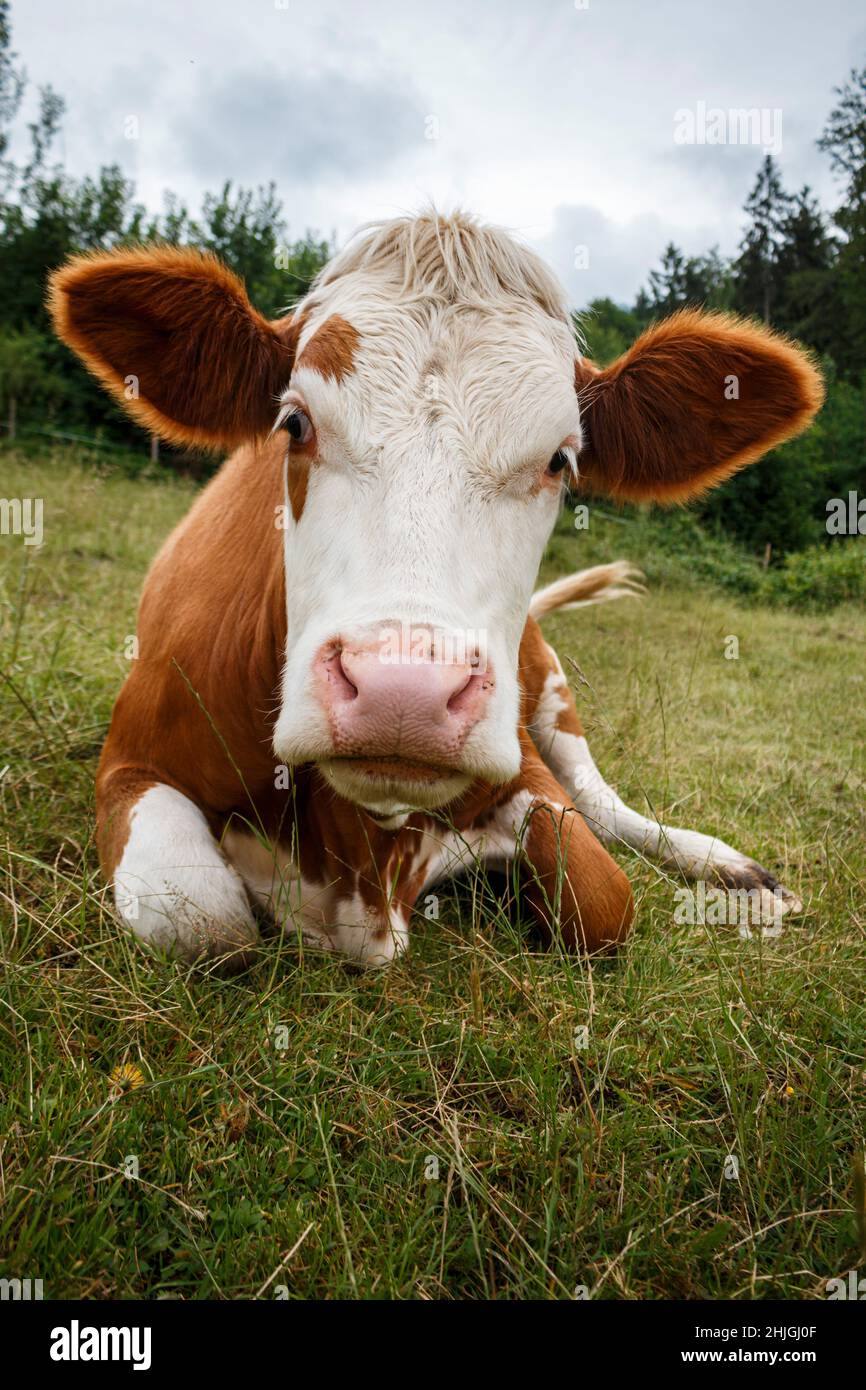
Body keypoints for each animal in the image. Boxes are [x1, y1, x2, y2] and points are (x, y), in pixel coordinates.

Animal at [48, 210, 823, 971]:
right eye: (294, 423)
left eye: (560, 459)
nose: (403, 695)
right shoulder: (130, 762)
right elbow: (202, 920)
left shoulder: (524, 764)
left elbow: (604, 898)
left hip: (550, 686)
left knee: (604, 802)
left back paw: (729, 868)